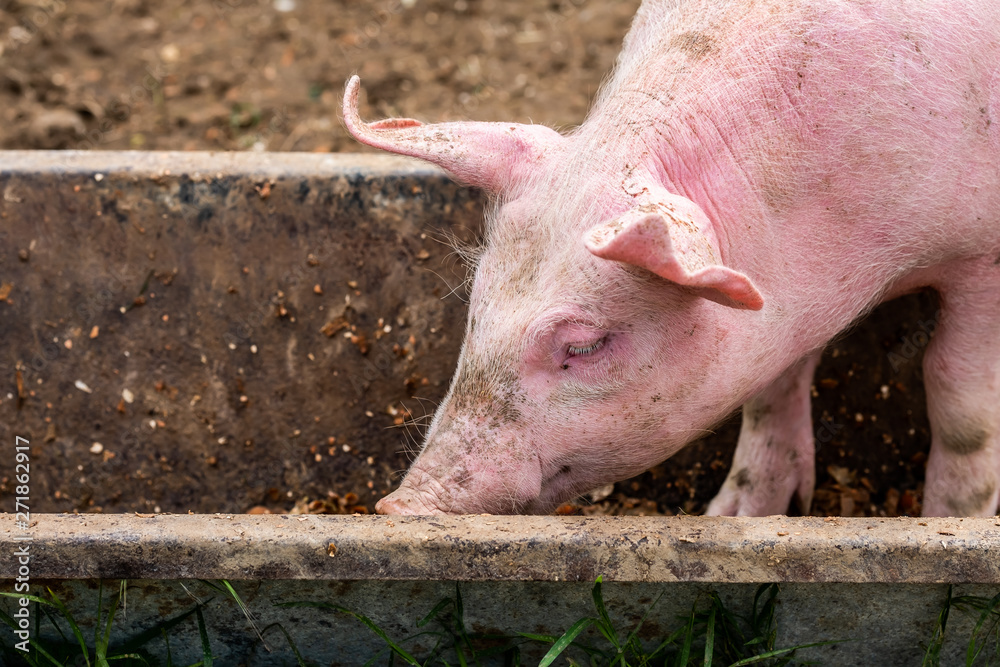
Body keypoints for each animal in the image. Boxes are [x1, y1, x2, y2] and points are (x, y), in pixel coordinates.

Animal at [343, 0, 1000, 517]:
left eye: (586, 345)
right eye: (475, 306)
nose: (397, 504)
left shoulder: (983, 258)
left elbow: (959, 400)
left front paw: (948, 523)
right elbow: (773, 388)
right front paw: (735, 517)